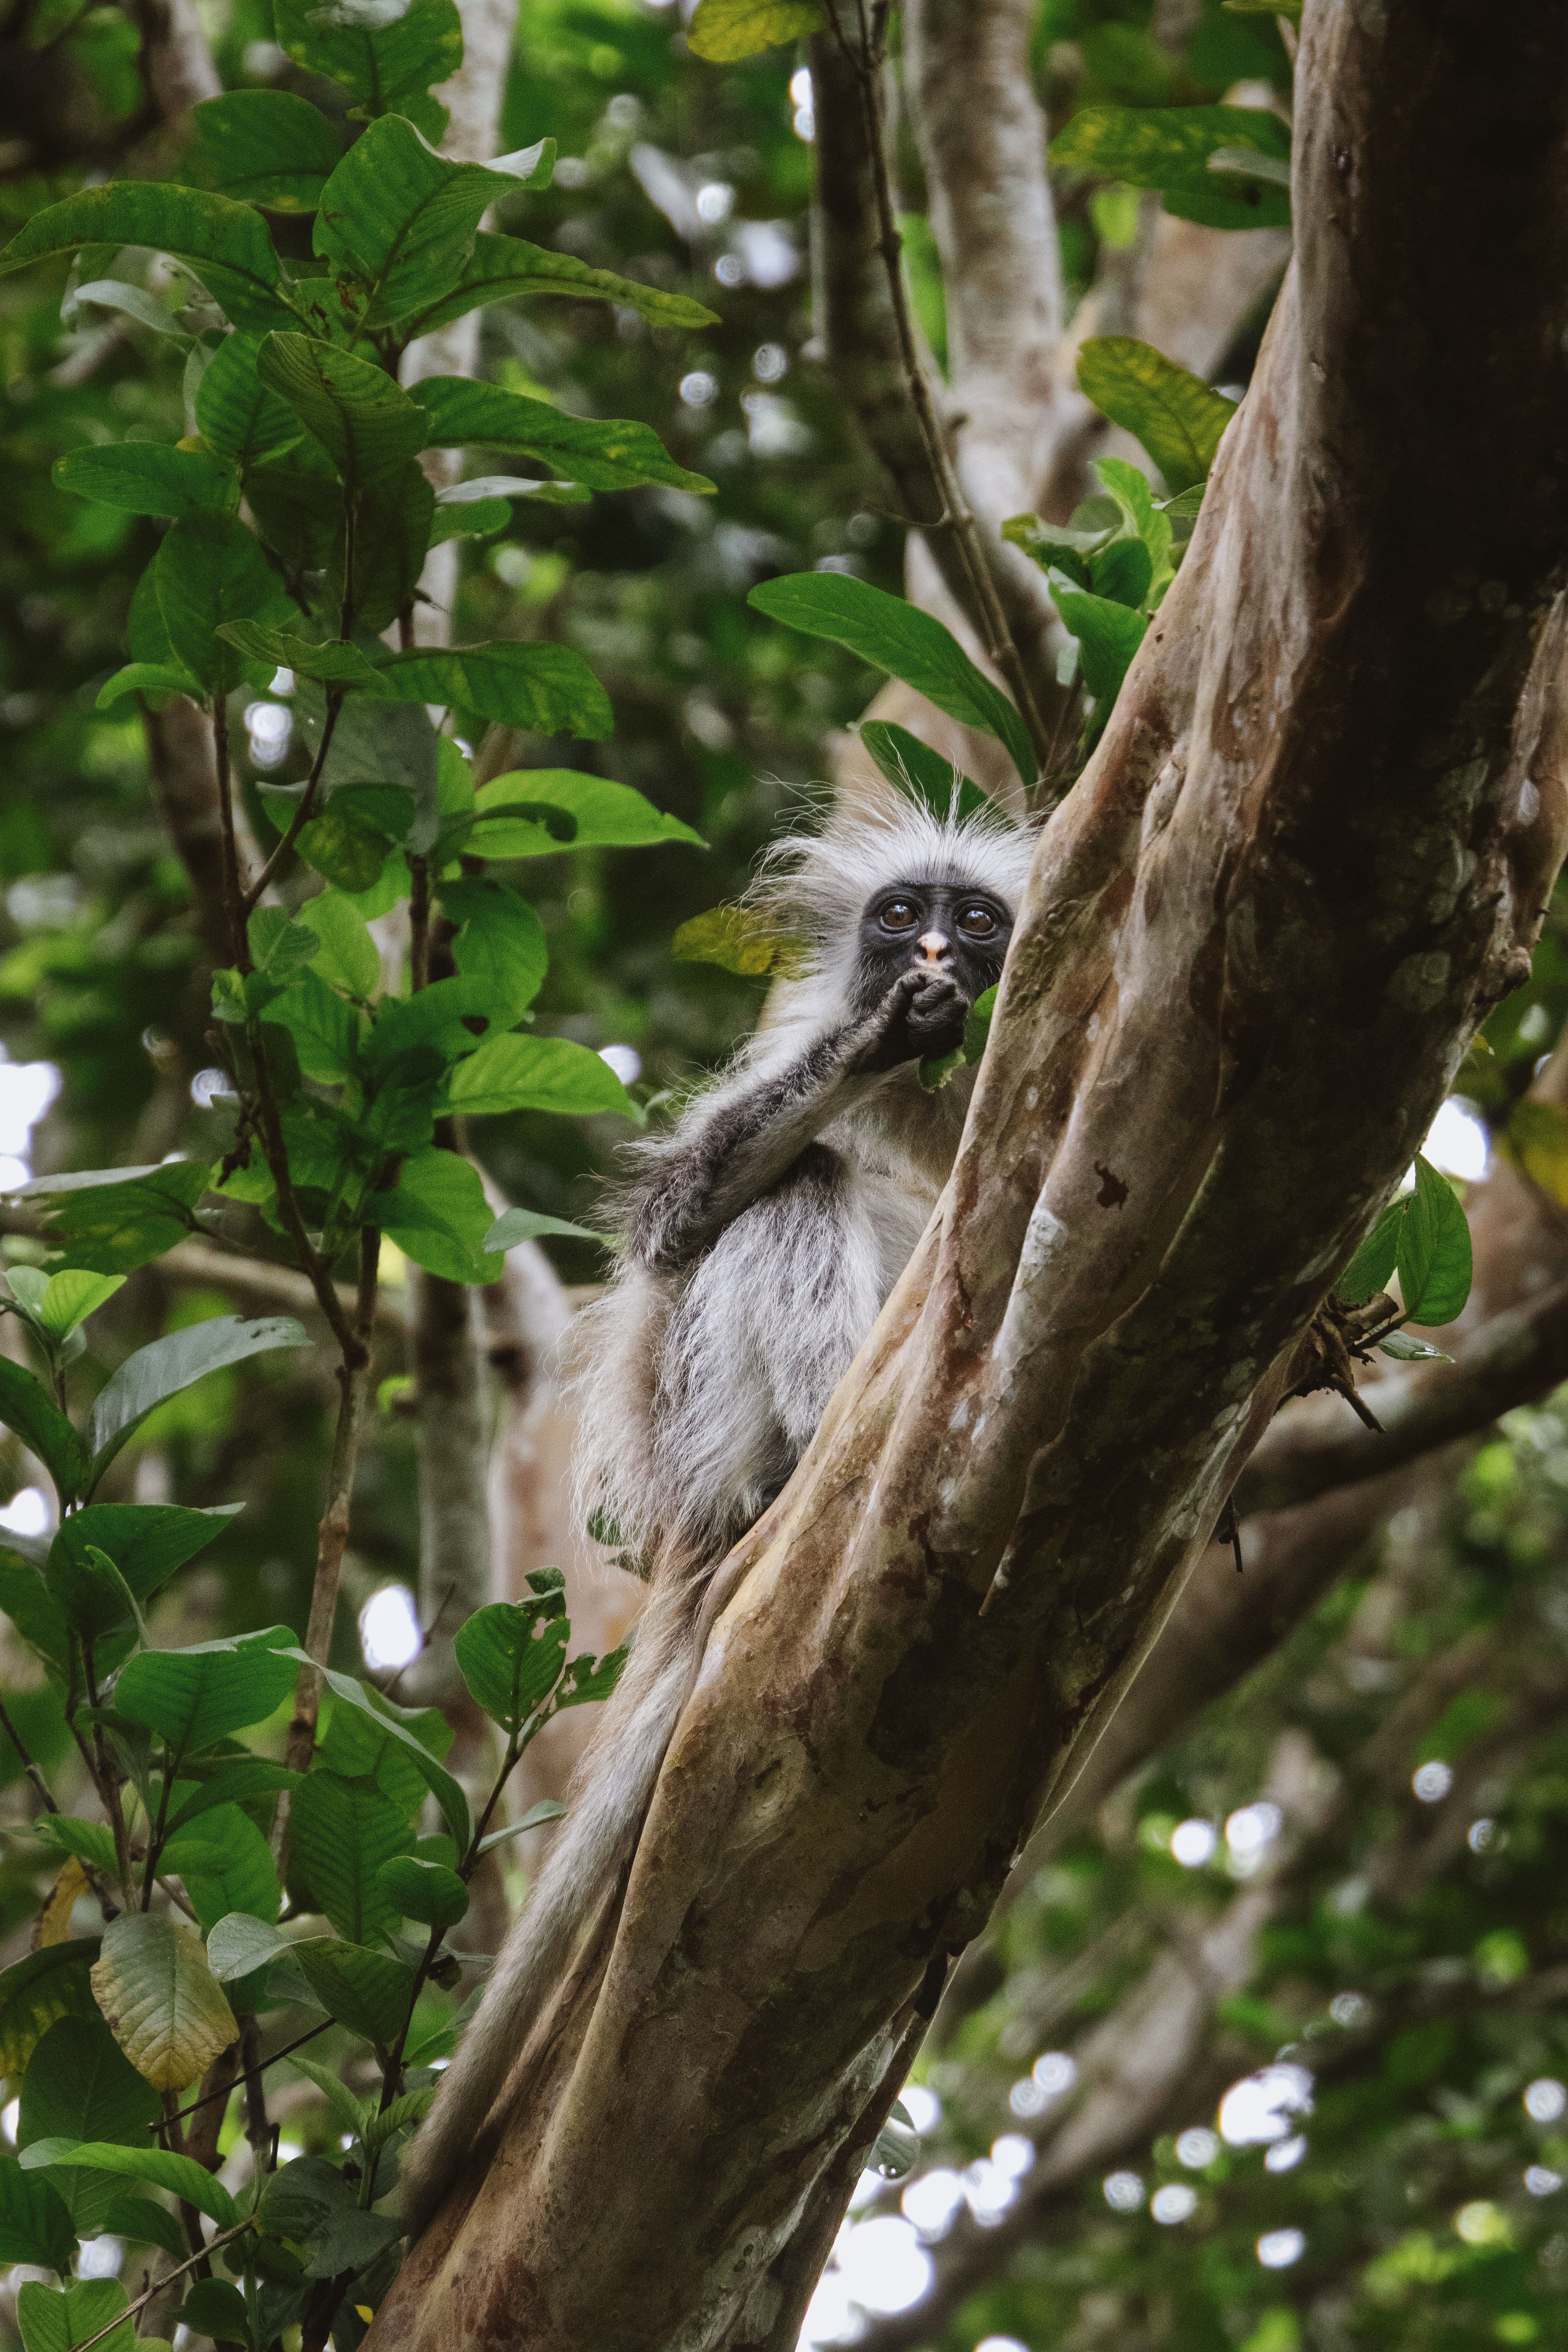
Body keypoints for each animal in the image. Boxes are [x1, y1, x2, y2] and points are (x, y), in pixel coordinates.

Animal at [398, 784, 1037, 2237]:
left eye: (977, 920)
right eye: (901, 916)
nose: (935, 956)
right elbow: (680, 1222)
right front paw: (876, 1035)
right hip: (705, 1431)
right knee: (795, 1190)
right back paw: (812, 1465)